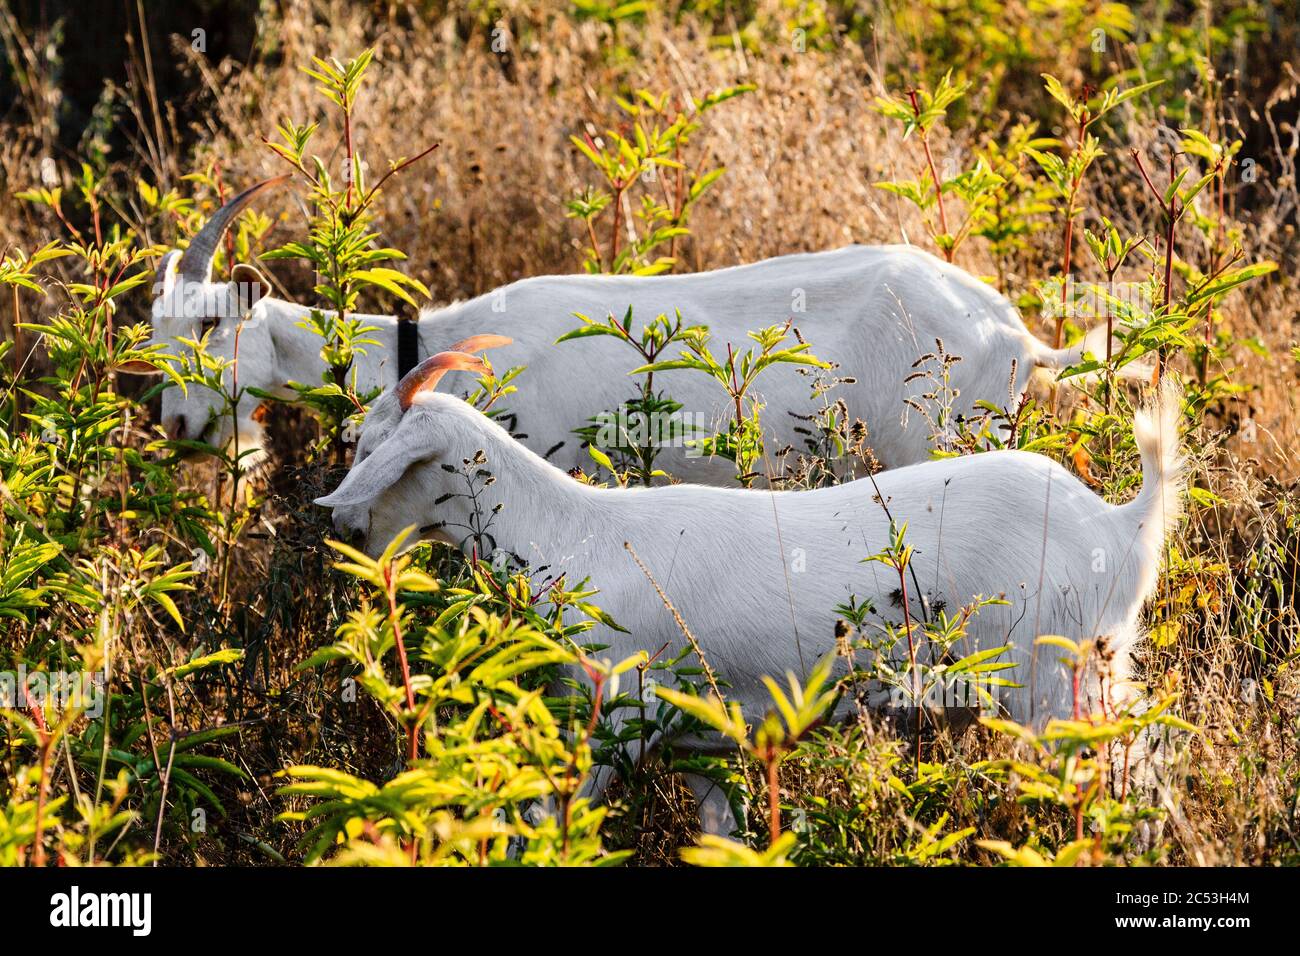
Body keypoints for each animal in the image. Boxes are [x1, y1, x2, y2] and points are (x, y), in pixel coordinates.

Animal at [315, 349, 1184, 833]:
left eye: (368, 448)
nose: (341, 533)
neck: (571, 533)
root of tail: (1118, 523)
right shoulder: (705, 742)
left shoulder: (617, 716)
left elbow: (552, 812)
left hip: (1053, 681)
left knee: (1128, 774)